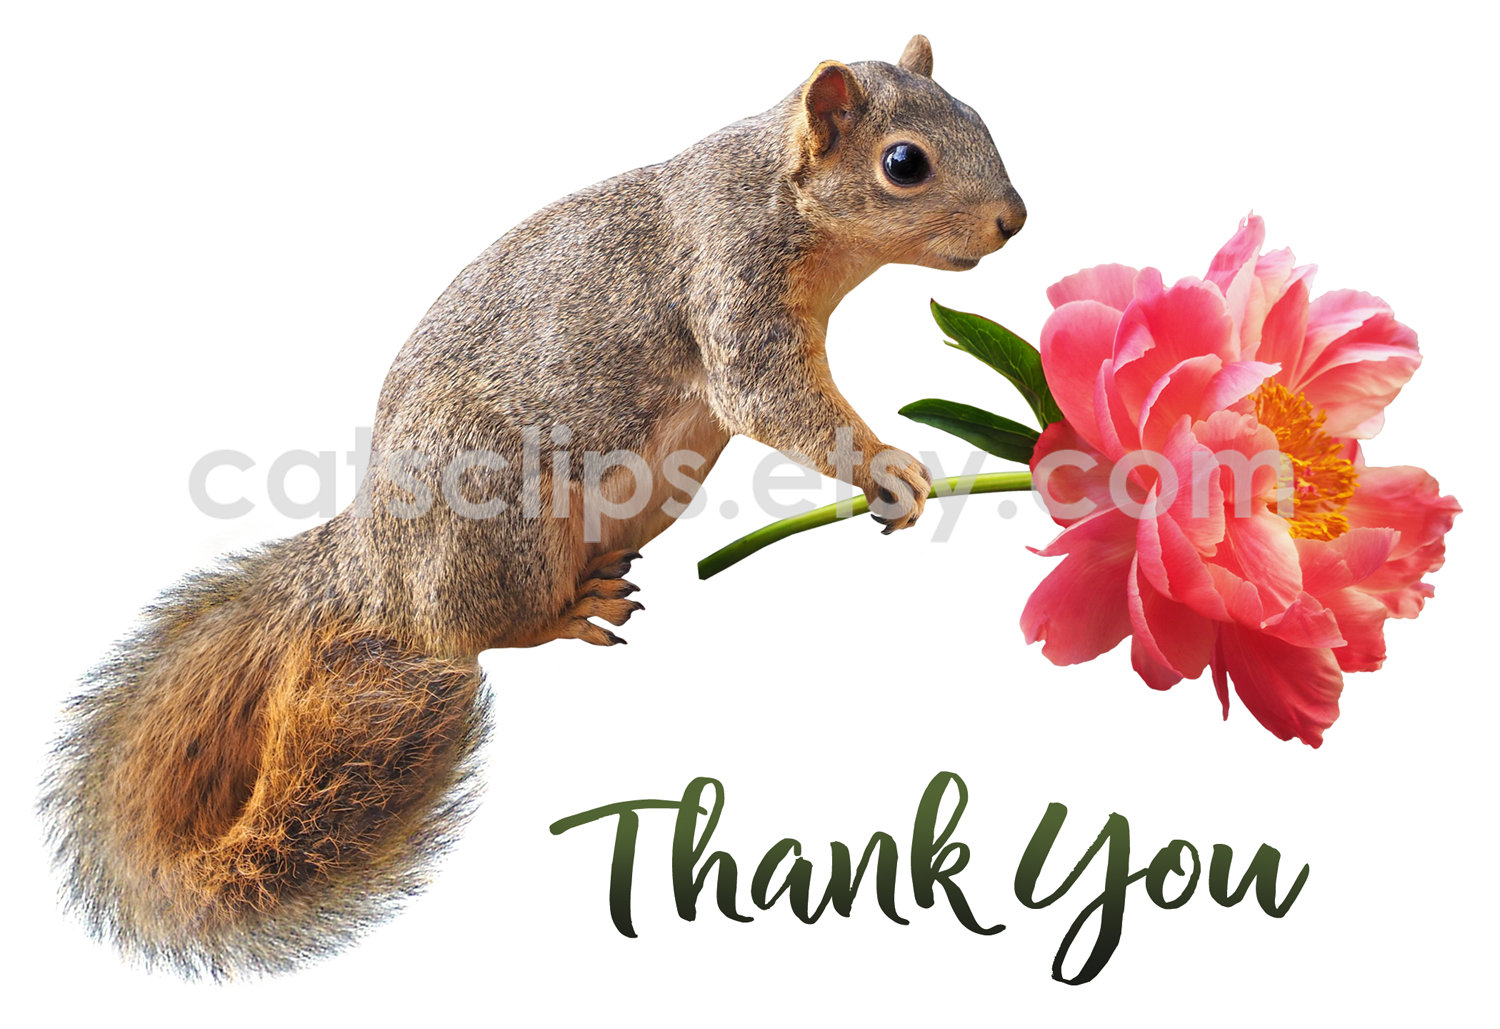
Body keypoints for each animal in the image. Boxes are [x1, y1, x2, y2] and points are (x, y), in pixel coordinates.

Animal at [41, 35, 1024, 977]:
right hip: (497, 522)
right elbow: (771, 398)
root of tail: (374, 566)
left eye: (979, 114)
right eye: (904, 163)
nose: (1014, 221)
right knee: (484, 630)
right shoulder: (731, 281)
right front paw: (887, 467)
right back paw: (568, 611)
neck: (777, 197)